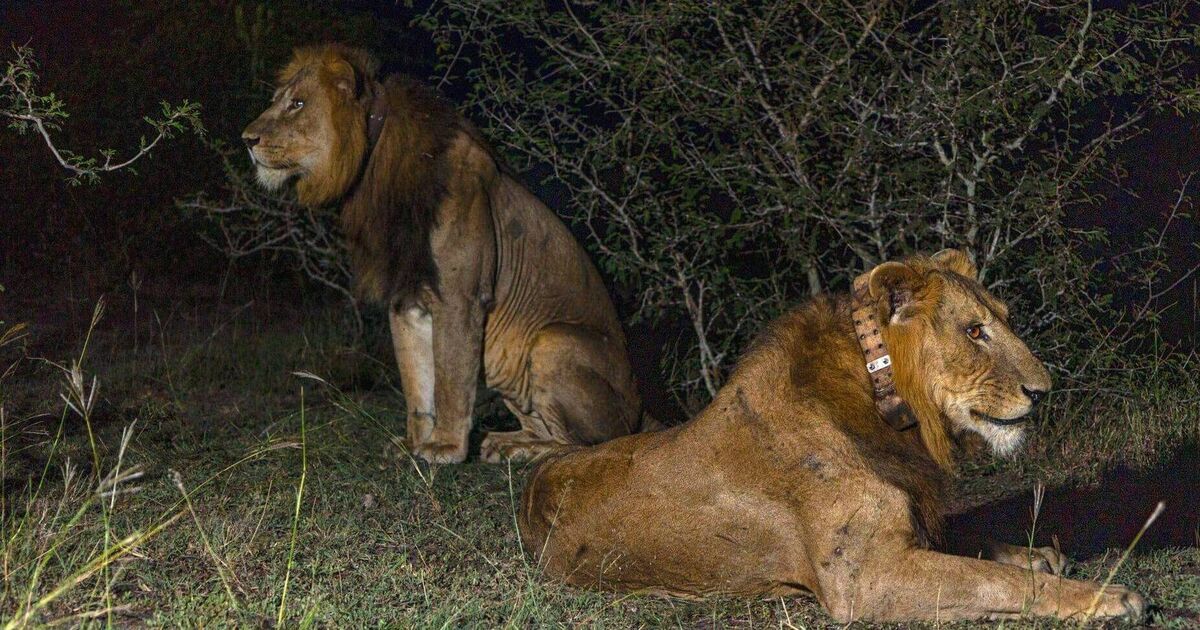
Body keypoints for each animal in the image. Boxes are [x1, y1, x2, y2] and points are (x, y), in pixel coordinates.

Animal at [241, 44, 649, 463]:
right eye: (278, 100)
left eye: (297, 104)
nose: (246, 140)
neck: (374, 170)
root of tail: (643, 411)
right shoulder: (405, 298)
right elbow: (417, 382)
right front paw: (414, 443)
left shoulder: (459, 296)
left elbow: (451, 379)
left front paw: (445, 447)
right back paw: (508, 441)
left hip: (551, 342)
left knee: (587, 443)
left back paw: (524, 450)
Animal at [519, 250, 1145, 622]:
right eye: (974, 332)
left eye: (1006, 321)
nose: (1043, 391)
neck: (889, 411)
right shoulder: (864, 581)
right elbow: (993, 581)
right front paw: (1107, 596)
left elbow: (976, 544)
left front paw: (1037, 554)